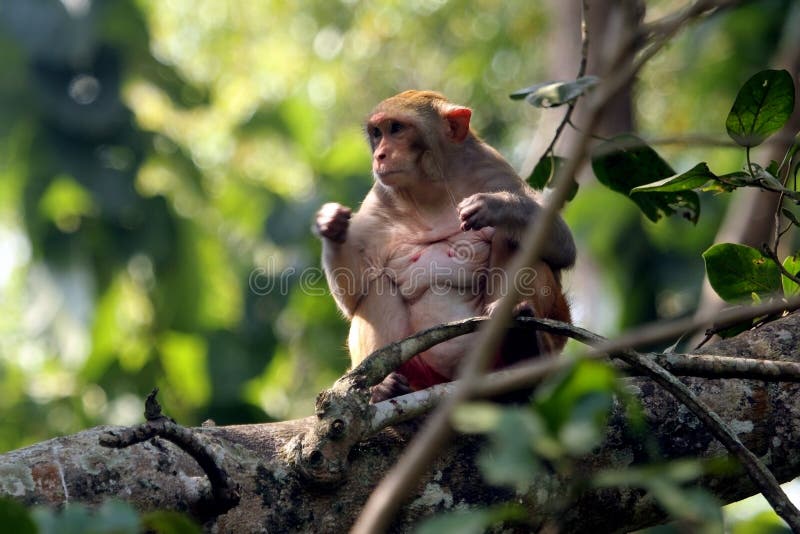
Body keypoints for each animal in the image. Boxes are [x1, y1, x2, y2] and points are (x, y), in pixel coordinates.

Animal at [315, 90, 575, 401]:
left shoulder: (493, 169)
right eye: (377, 133)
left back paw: (524, 348)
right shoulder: (379, 200)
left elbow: (563, 246)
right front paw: (332, 227)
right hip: (418, 370)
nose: (379, 155)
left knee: (514, 241)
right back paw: (381, 388)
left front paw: (496, 206)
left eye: (396, 129)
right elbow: (354, 293)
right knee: (378, 287)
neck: (431, 188)